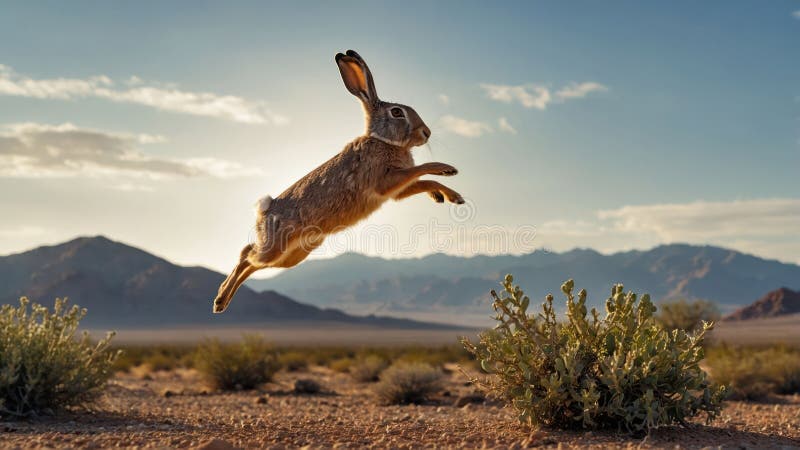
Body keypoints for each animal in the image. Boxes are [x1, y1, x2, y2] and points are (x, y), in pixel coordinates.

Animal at [213, 50, 463, 313]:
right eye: (397, 112)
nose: (426, 133)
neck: (383, 140)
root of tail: (264, 210)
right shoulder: (384, 181)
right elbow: (421, 170)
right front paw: (446, 169)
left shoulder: (394, 190)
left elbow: (422, 182)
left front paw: (448, 196)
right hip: (276, 248)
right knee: (247, 254)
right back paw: (220, 299)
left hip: (291, 256)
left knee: (253, 262)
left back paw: (223, 299)